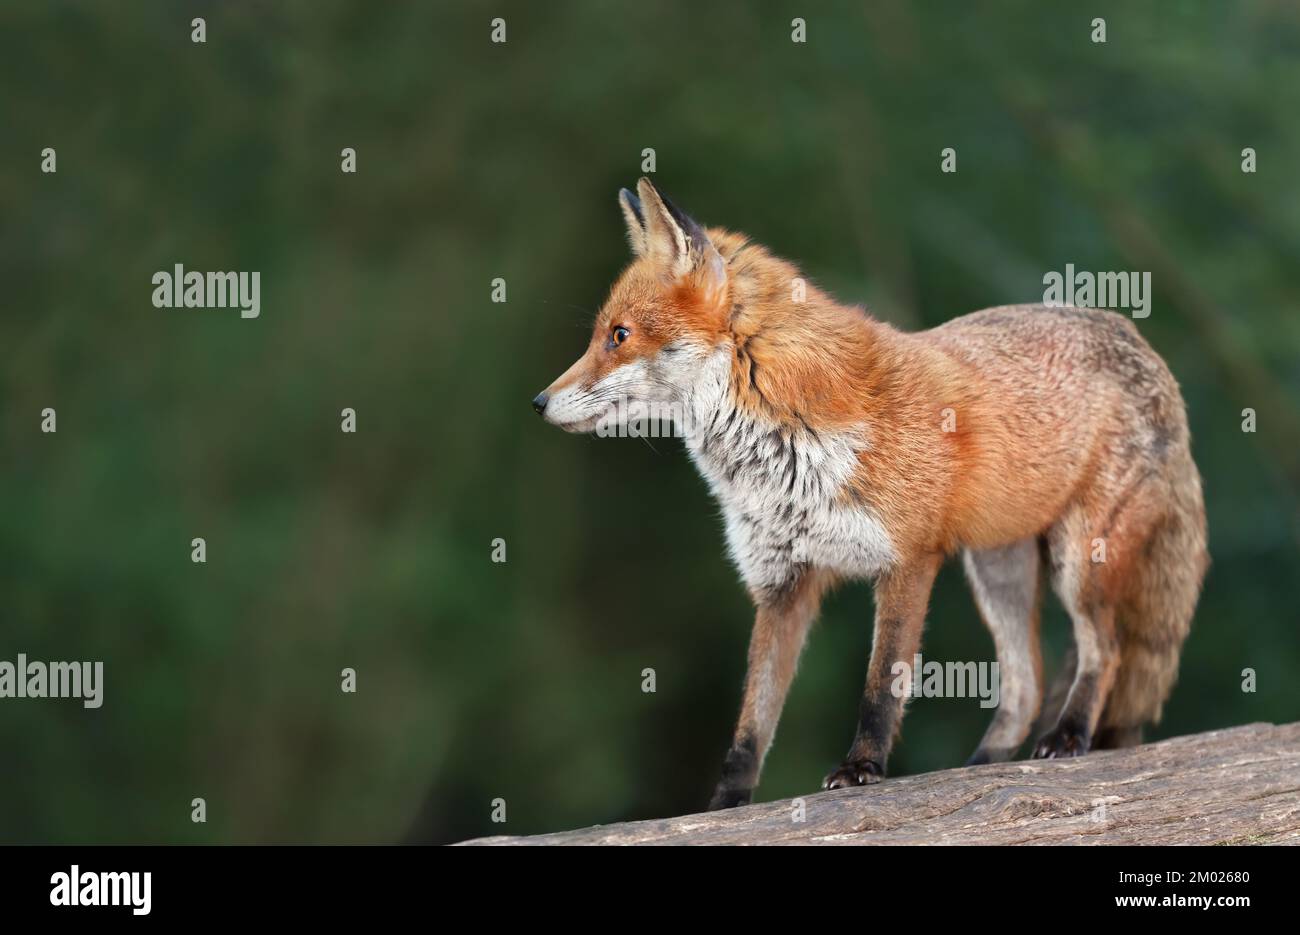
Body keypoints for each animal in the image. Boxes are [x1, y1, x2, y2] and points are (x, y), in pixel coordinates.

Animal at [533, 177, 1209, 809]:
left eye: (618, 336)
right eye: (601, 335)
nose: (539, 403)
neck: (782, 447)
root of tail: (1141, 344)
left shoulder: (907, 560)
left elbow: (881, 686)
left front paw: (861, 768)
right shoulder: (781, 583)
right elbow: (753, 720)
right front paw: (726, 803)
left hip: (1078, 562)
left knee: (1105, 651)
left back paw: (1068, 736)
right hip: (999, 572)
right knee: (1026, 684)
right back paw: (984, 765)